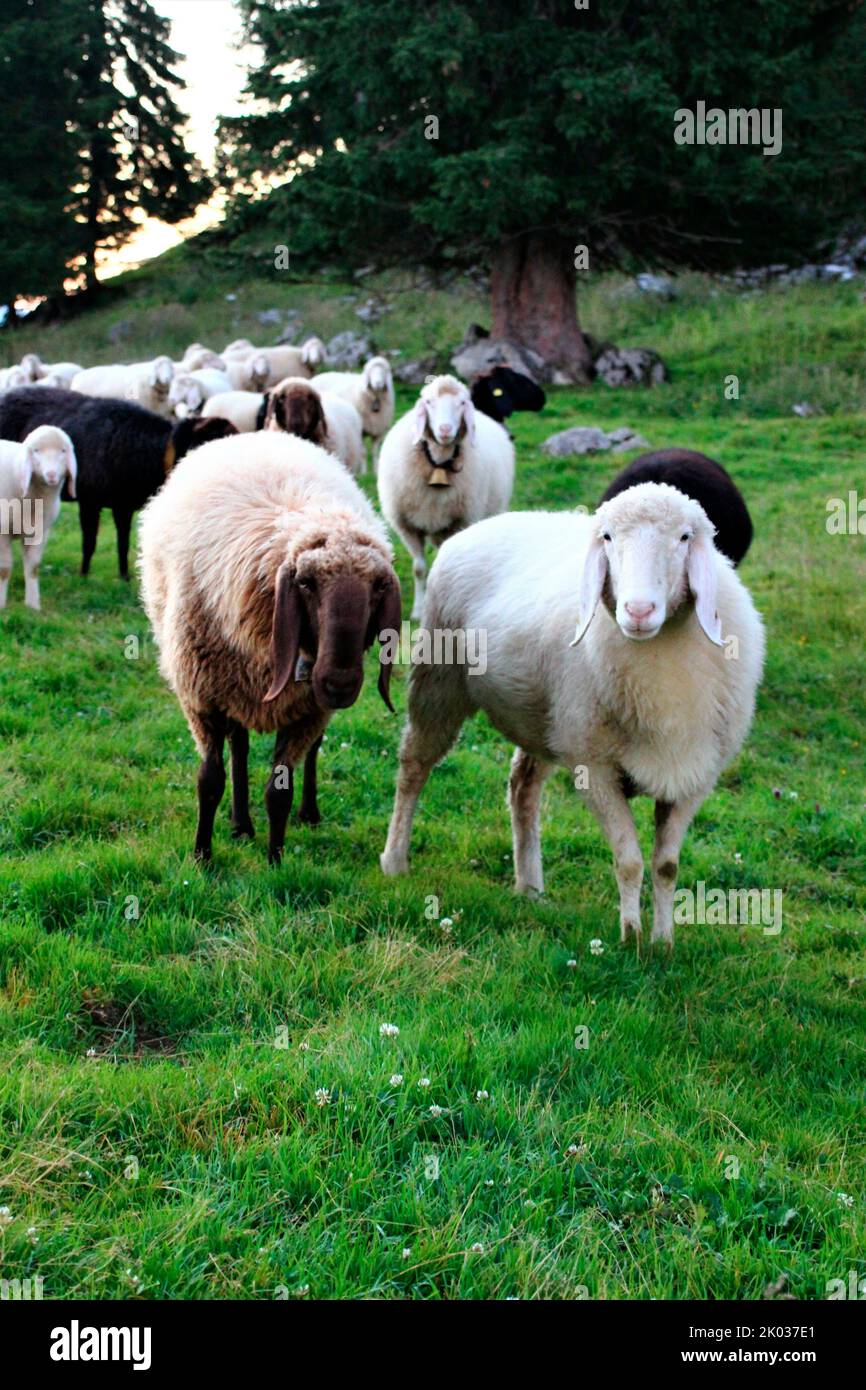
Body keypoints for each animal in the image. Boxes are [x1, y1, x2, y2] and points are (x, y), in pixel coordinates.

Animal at [0, 387, 237, 579]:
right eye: (199, 446)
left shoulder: (124, 504)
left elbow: (123, 543)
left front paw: (124, 576)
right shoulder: (90, 499)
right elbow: (89, 542)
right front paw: (83, 575)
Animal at [0, 425, 77, 610]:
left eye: (63, 450)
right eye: (36, 451)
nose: (51, 474)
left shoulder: (40, 533)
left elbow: (33, 568)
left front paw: (33, 605)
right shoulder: (2, 532)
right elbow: (4, 570)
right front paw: (1, 604)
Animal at [137, 431, 402, 864]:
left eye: (379, 588)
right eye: (306, 583)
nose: (340, 684)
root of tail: (258, 433)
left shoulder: (306, 710)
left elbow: (280, 792)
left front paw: (276, 860)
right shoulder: (203, 698)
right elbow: (210, 780)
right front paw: (202, 855)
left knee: (311, 750)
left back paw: (307, 813)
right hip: (233, 686)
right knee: (240, 749)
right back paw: (240, 824)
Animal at [376, 373, 515, 619]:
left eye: (461, 403)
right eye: (429, 402)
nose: (445, 430)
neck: (438, 462)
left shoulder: (459, 523)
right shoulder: (407, 526)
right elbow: (419, 568)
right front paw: (417, 611)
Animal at [380, 482, 765, 950]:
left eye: (685, 537)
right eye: (608, 538)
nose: (638, 611)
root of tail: (484, 525)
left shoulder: (693, 777)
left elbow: (666, 866)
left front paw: (663, 943)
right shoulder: (594, 768)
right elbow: (630, 860)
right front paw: (631, 938)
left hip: (545, 719)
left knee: (523, 787)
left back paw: (529, 886)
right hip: (440, 681)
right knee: (414, 767)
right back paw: (395, 860)